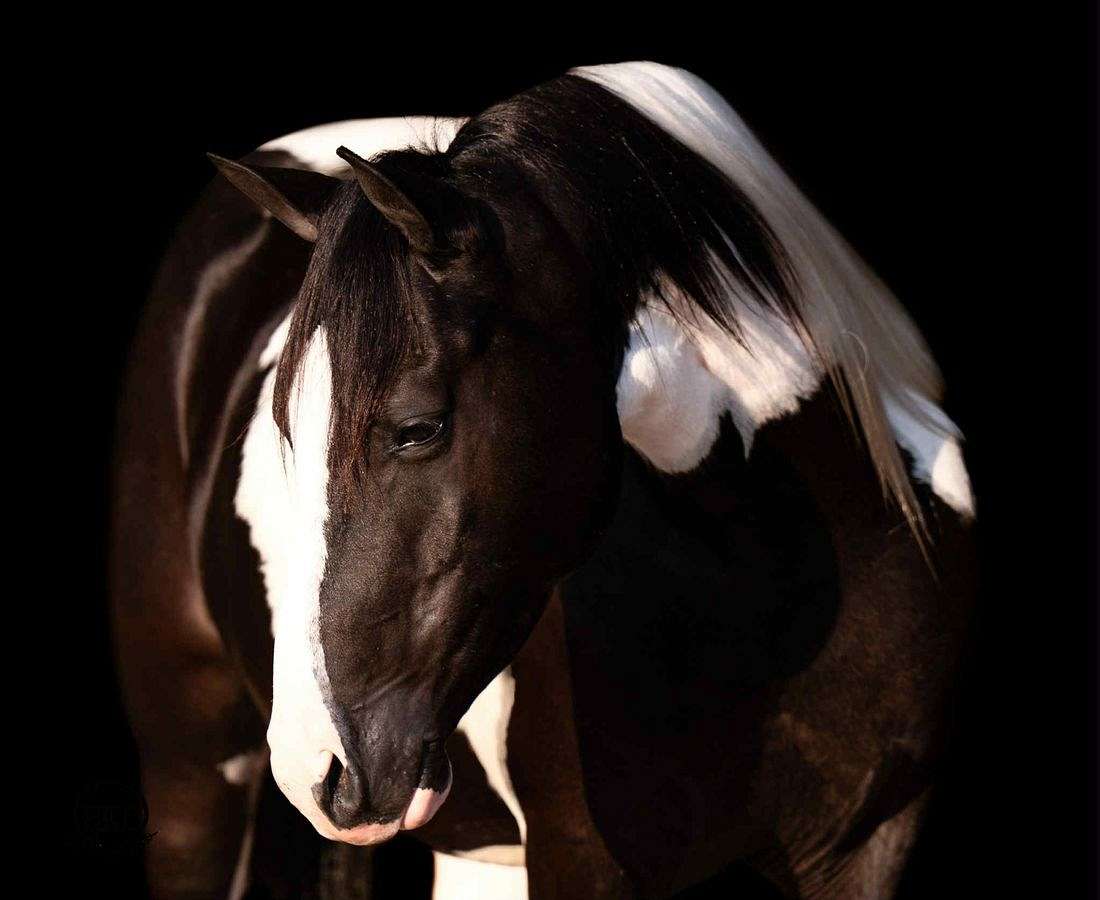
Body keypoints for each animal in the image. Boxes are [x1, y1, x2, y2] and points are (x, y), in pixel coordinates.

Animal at [110, 61, 976, 899]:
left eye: (417, 428)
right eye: (286, 423)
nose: (313, 766)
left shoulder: (871, 849)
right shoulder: (580, 857)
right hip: (195, 782)